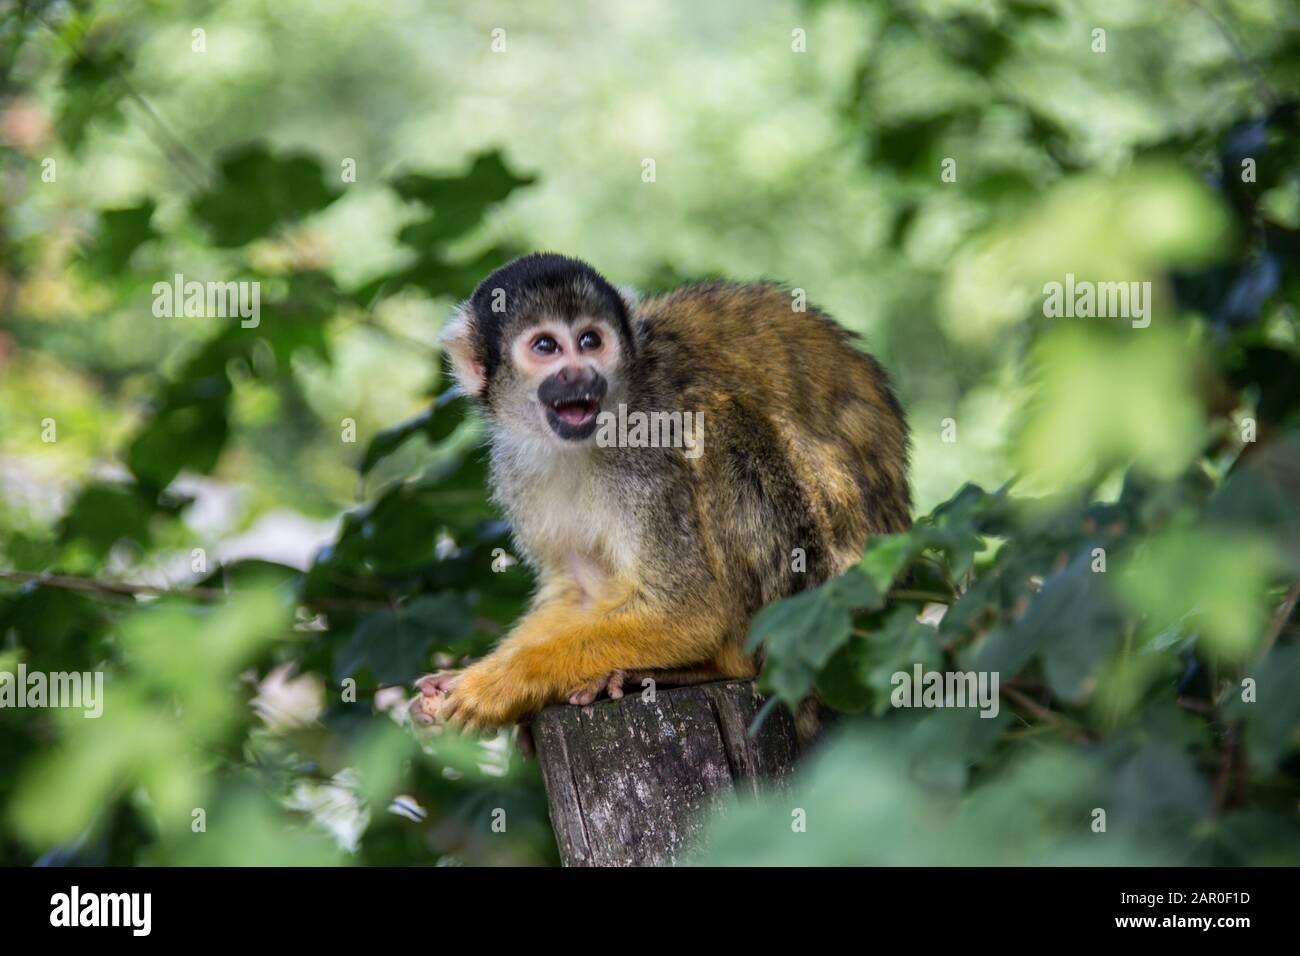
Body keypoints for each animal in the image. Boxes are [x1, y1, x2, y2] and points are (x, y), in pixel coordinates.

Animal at [410, 252, 910, 732]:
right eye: (546, 347)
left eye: (590, 341)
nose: (579, 375)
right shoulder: (516, 473)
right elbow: (576, 592)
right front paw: (466, 678)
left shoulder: (646, 451)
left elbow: (689, 612)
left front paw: (498, 684)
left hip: (819, 597)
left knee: (717, 418)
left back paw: (716, 665)